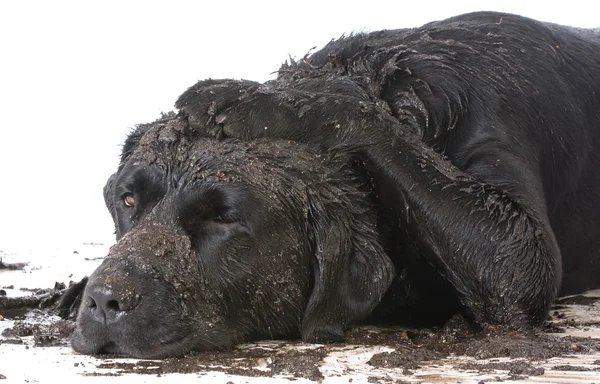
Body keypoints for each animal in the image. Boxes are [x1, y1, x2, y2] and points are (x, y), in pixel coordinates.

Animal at [58, 12, 600, 360]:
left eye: (223, 217)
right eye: (128, 200)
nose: (104, 301)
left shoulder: (519, 255)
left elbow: (349, 110)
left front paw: (262, 99)